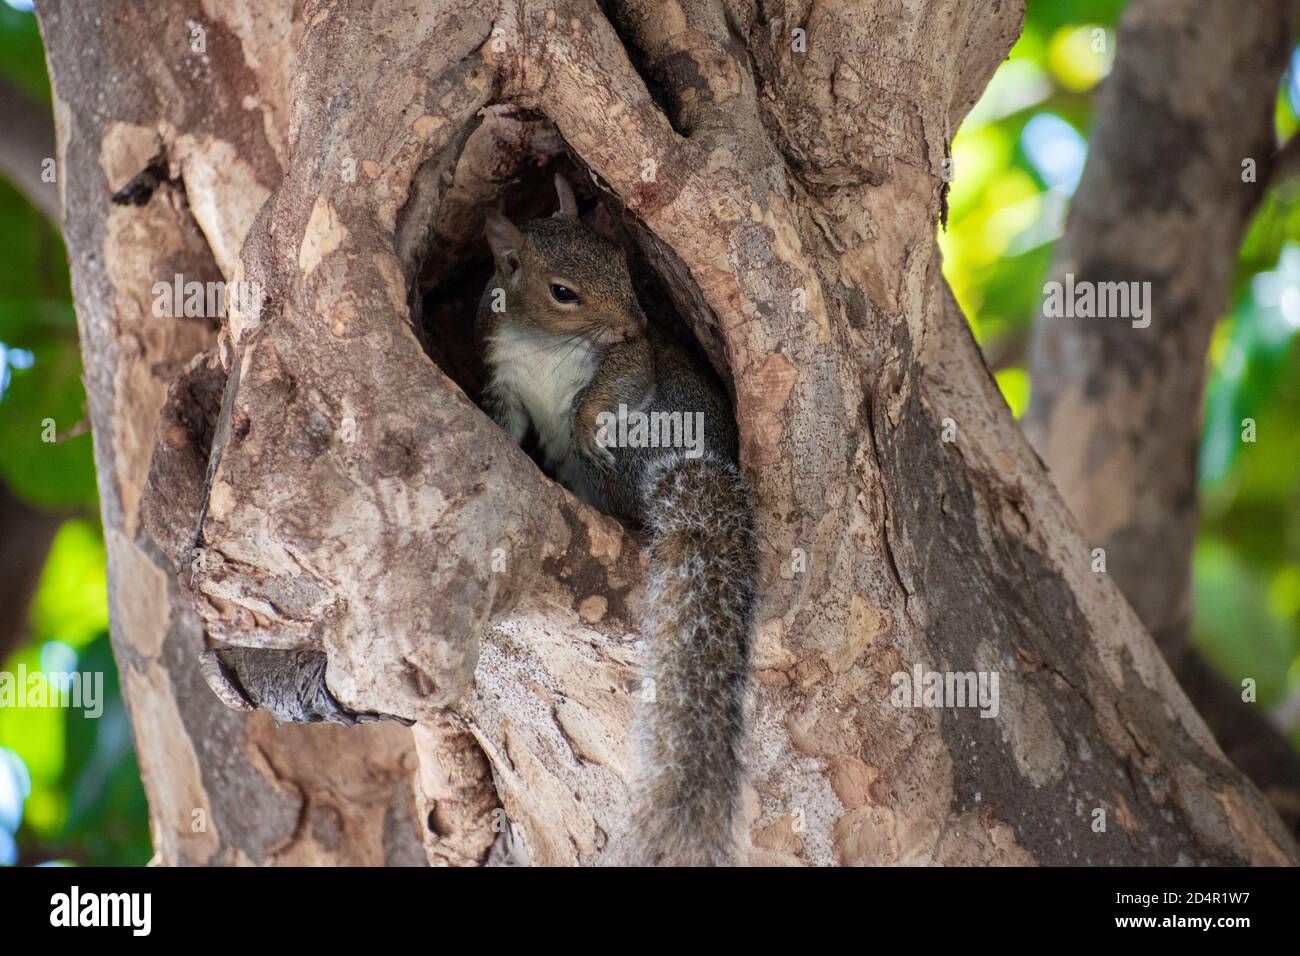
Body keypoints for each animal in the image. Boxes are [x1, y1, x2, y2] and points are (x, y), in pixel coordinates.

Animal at [477, 174, 759, 866]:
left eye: (623, 261)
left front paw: (584, 419)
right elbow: (505, 420)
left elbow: (619, 381)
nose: (636, 321)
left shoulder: (630, 363)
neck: (547, 344)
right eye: (562, 292)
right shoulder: (499, 364)